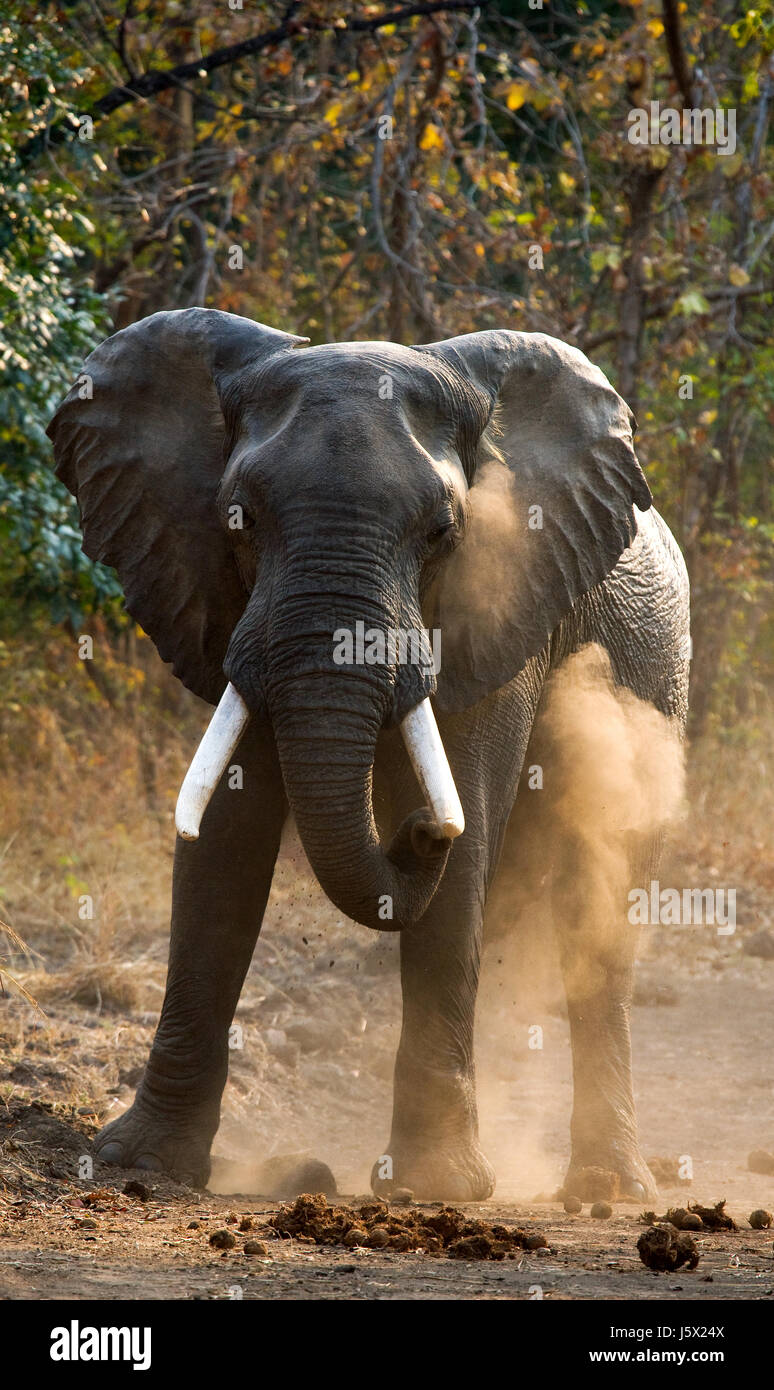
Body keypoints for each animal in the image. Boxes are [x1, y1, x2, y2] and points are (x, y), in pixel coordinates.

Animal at [47, 308, 690, 1201]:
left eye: (443, 532)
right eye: (240, 519)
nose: (417, 828)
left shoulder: (500, 605)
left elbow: (469, 833)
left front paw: (438, 1187)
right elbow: (223, 844)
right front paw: (141, 1164)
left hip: (656, 695)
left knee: (598, 913)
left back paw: (609, 1191)